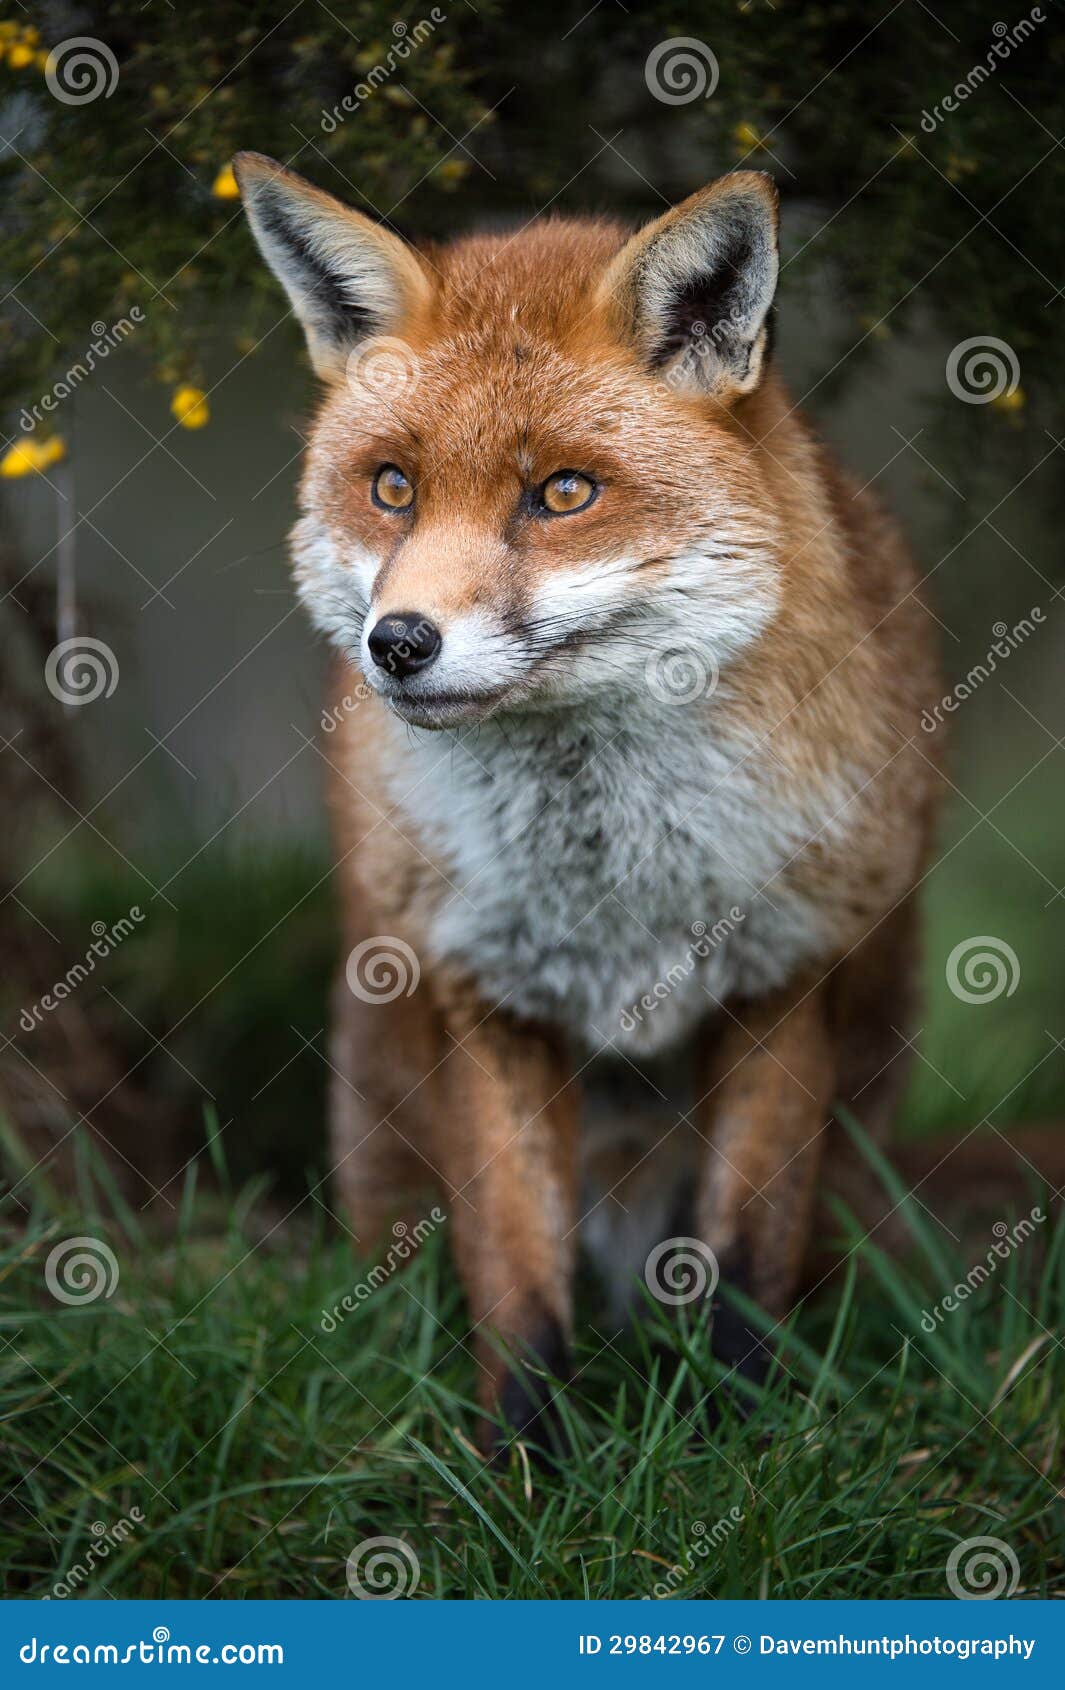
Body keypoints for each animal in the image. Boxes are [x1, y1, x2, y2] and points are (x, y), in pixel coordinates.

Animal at [234, 150, 950, 1445]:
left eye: (563, 493)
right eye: (393, 487)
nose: (397, 645)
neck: (614, 879)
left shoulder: (784, 979)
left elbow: (746, 1263)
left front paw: (744, 1444)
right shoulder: (486, 993)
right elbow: (517, 1279)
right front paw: (524, 1461)